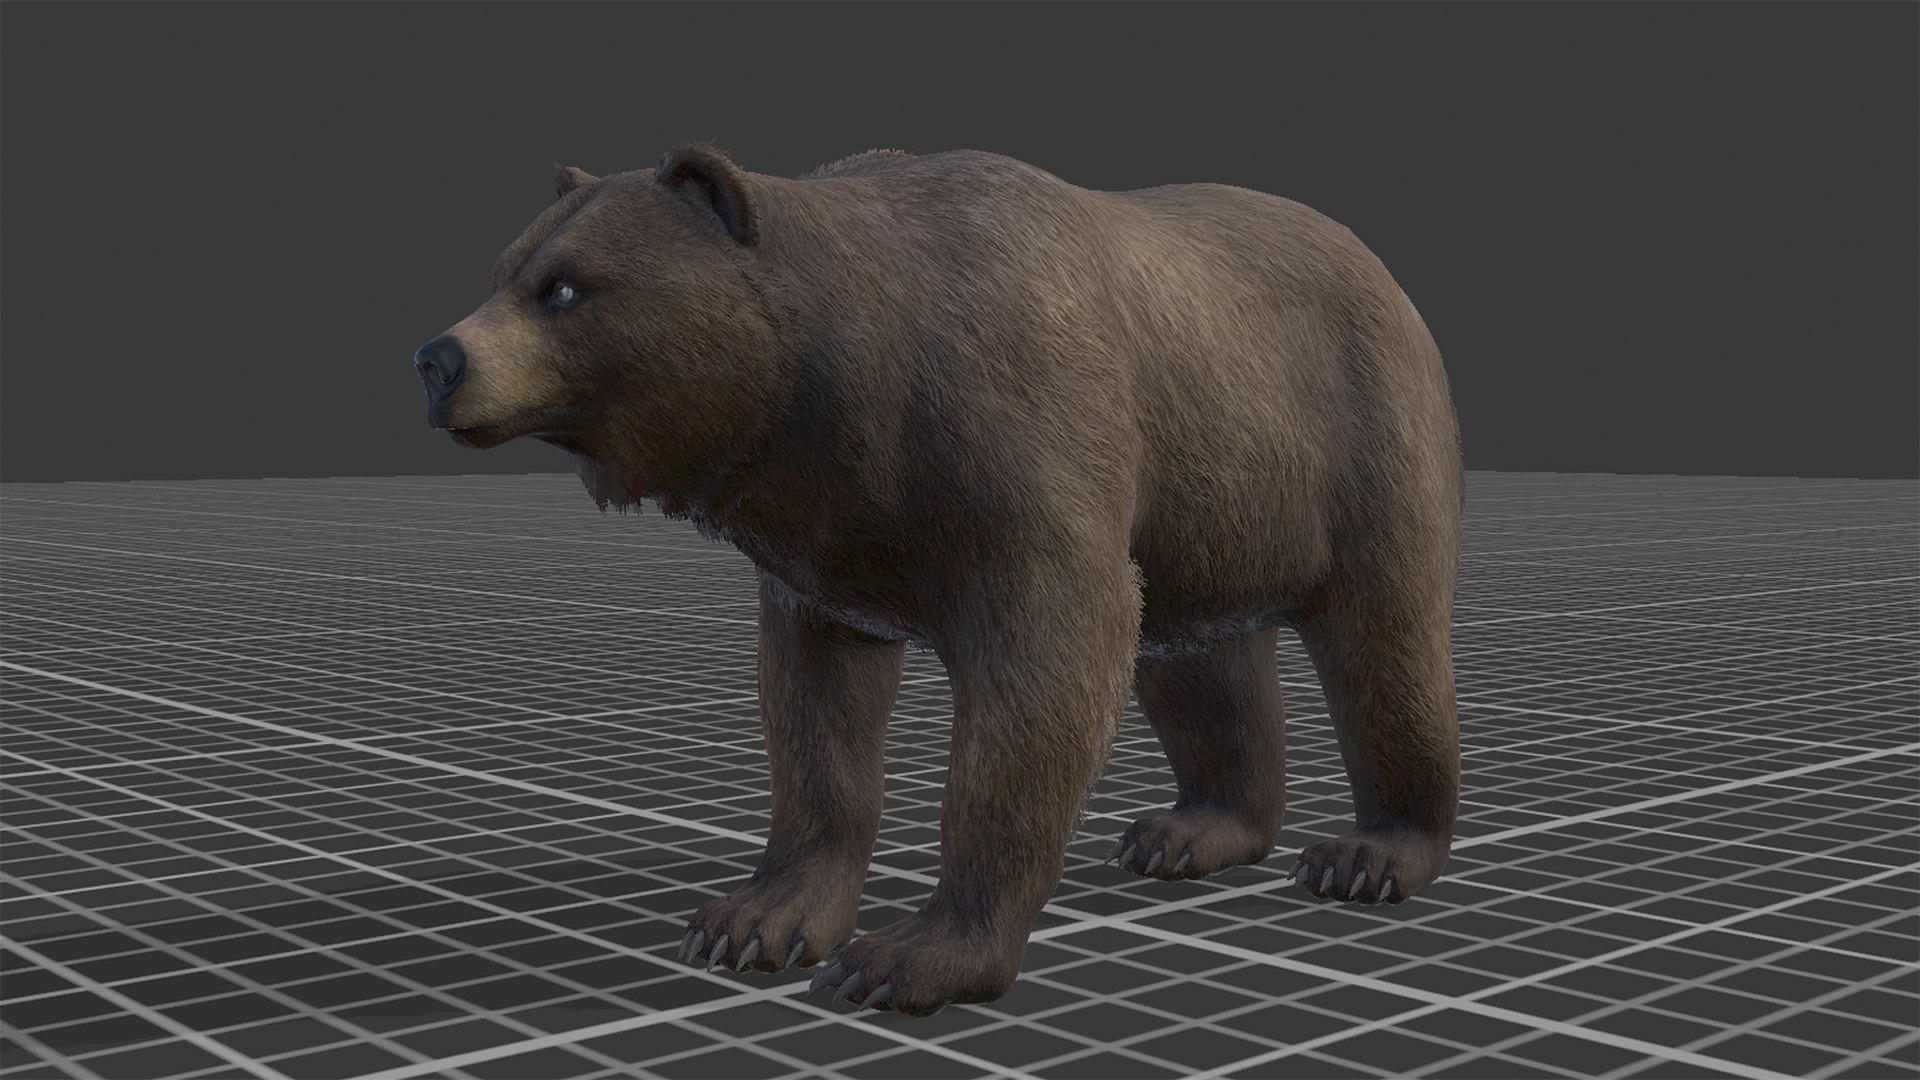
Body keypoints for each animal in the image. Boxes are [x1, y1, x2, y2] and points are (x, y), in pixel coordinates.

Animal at [412, 143, 1465, 1017]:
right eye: (503, 270)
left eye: (563, 288)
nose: (437, 357)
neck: (833, 395)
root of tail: (1376, 262)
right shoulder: (827, 550)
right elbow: (816, 718)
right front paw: (753, 919)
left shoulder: (1017, 447)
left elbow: (1038, 685)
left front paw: (909, 956)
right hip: (1208, 503)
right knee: (1199, 662)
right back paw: (1190, 829)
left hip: (1356, 435)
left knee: (1388, 646)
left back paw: (1370, 853)